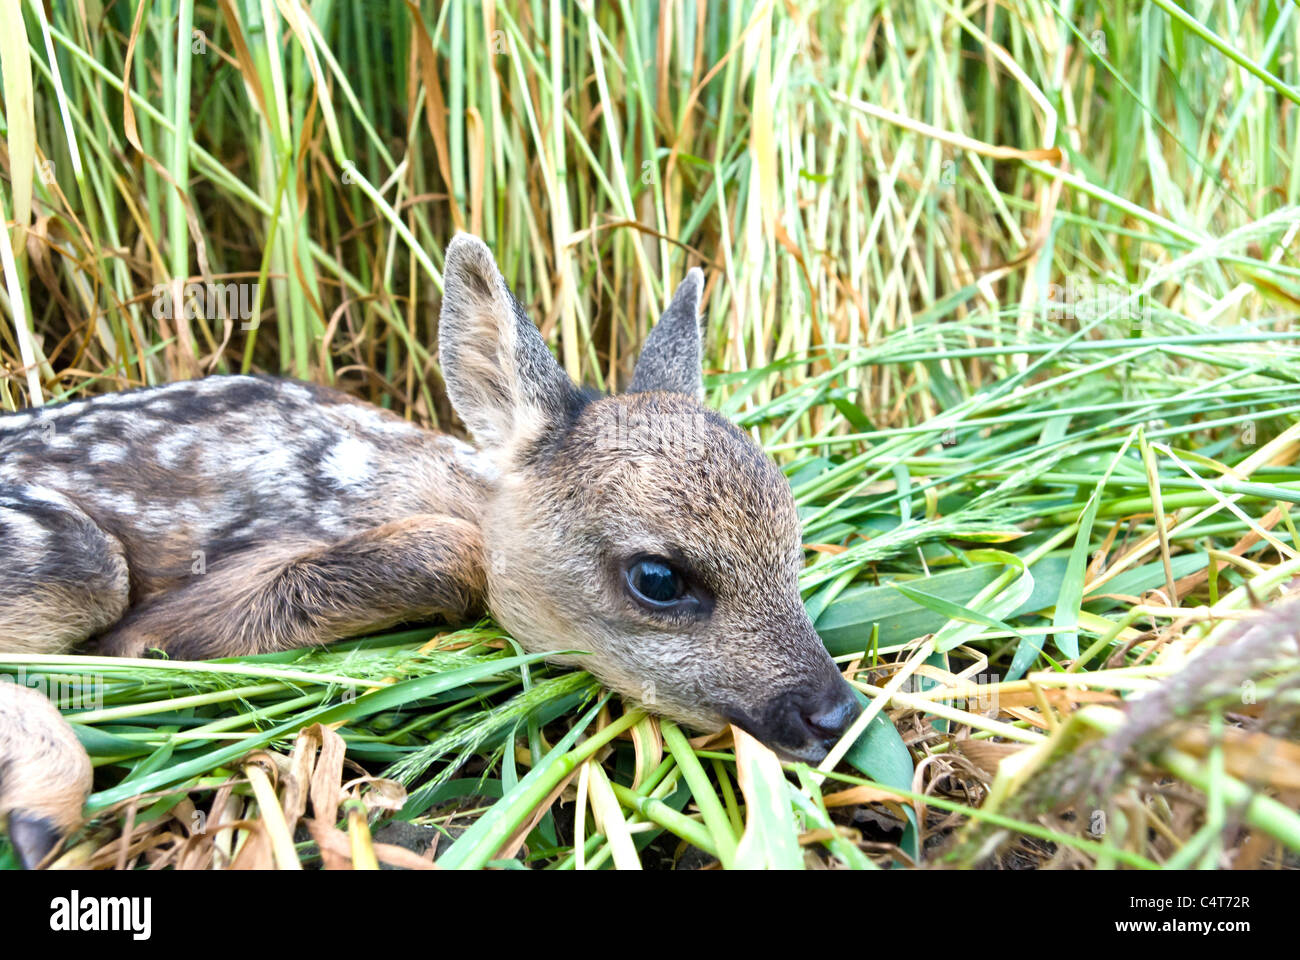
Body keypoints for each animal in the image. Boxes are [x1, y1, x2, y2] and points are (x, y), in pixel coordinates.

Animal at [0, 233, 860, 868]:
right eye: (658, 577)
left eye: (794, 546)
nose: (838, 712)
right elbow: (450, 553)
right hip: (68, 554)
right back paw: (42, 805)